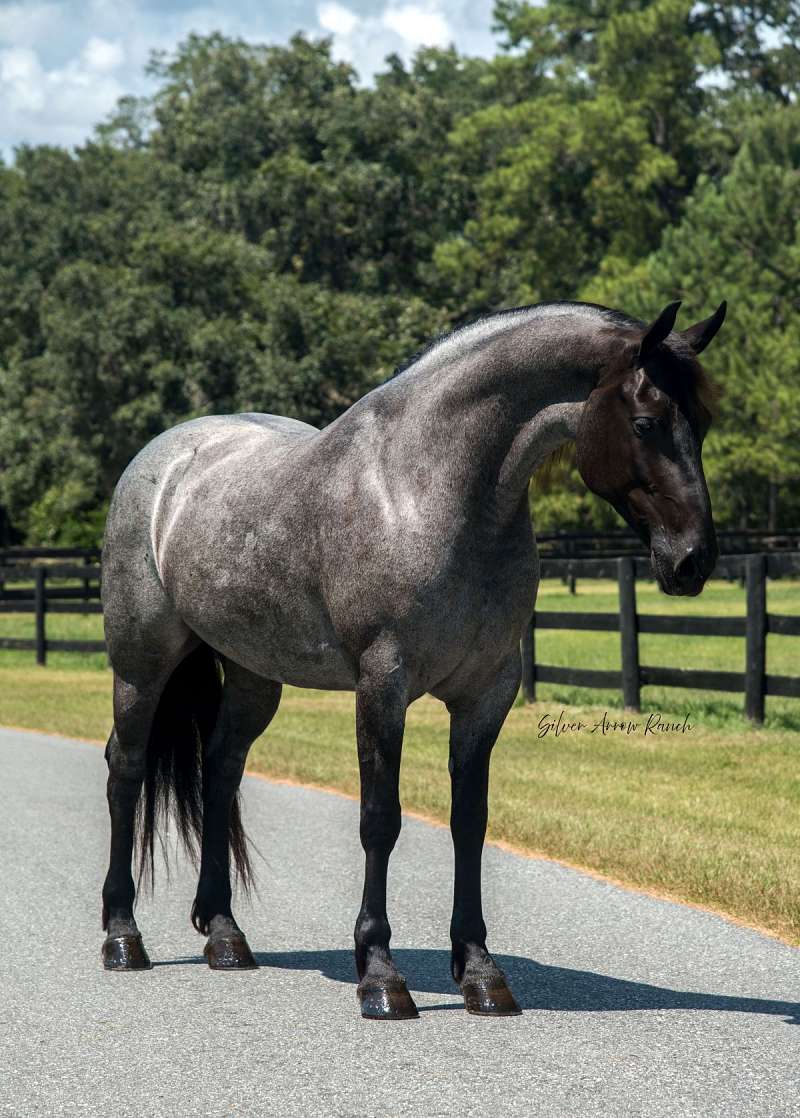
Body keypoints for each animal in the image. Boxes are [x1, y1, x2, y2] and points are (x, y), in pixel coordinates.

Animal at [100, 297, 726, 1019]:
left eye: (702, 422)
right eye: (647, 421)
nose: (693, 561)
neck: (424, 490)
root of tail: (166, 458)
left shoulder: (487, 693)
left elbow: (469, 823)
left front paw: (480, 972)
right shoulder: (383, 686)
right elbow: (381, 821)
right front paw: (380, 975)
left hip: (255, 675)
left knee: (221, 771)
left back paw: (226, 935)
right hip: (141, 663)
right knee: (126, 770)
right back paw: (122, 936)